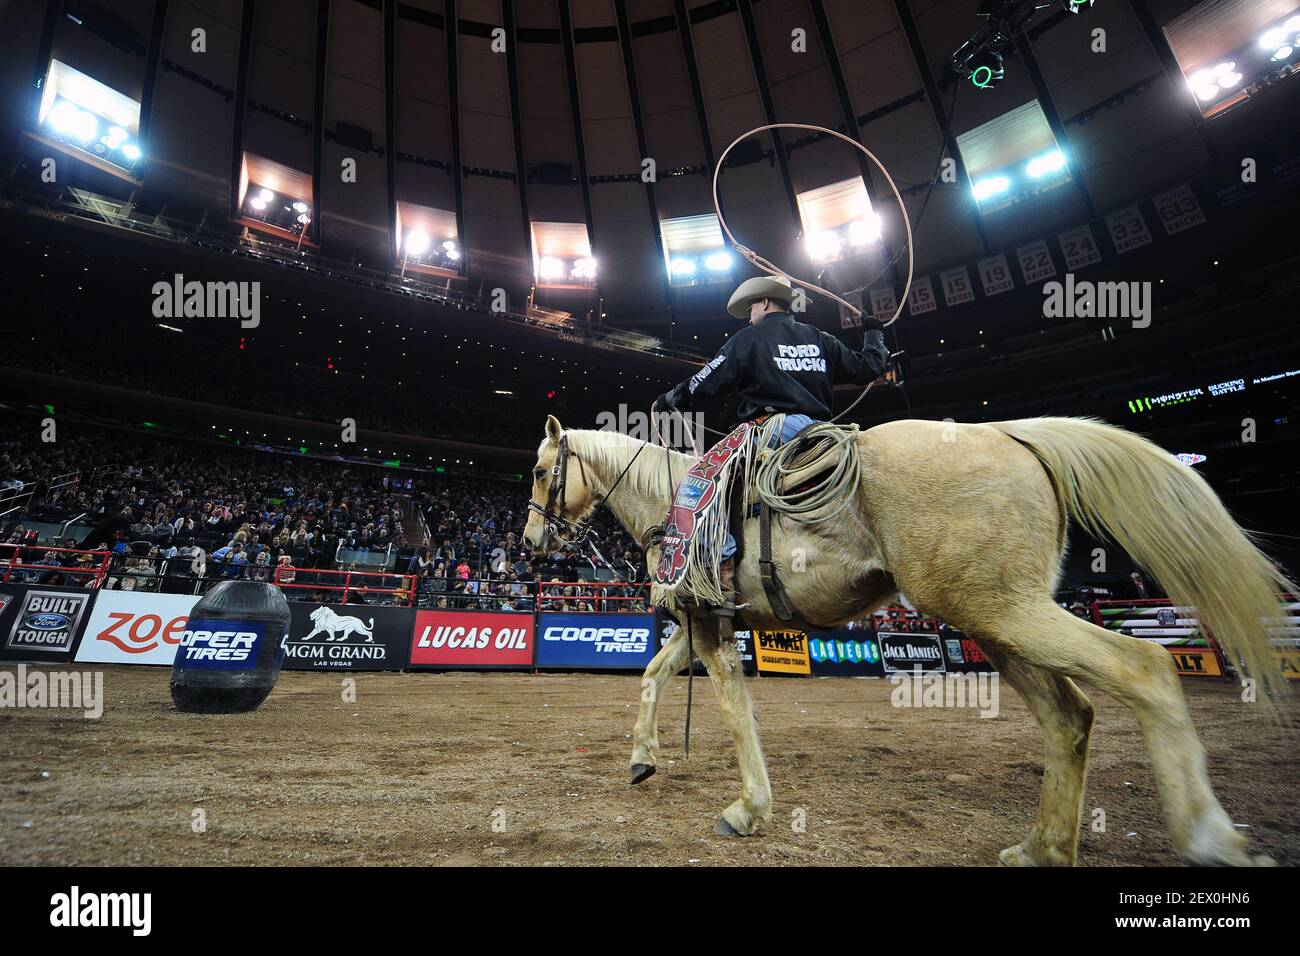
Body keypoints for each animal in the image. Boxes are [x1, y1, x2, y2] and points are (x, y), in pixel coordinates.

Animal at [521, 413, 1292, 865]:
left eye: (538, 470)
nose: (530, 544)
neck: (676, 498)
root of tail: (1012, 434)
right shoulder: (701, 622)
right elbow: (654, 674)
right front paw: (643, 759)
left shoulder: (709, 623)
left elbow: (735, 712)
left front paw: (749, 809)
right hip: (993, 619)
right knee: (1069, 715)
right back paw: (1041, 847)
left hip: (1003, 611)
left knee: (1143, 668)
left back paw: (1209, 837)